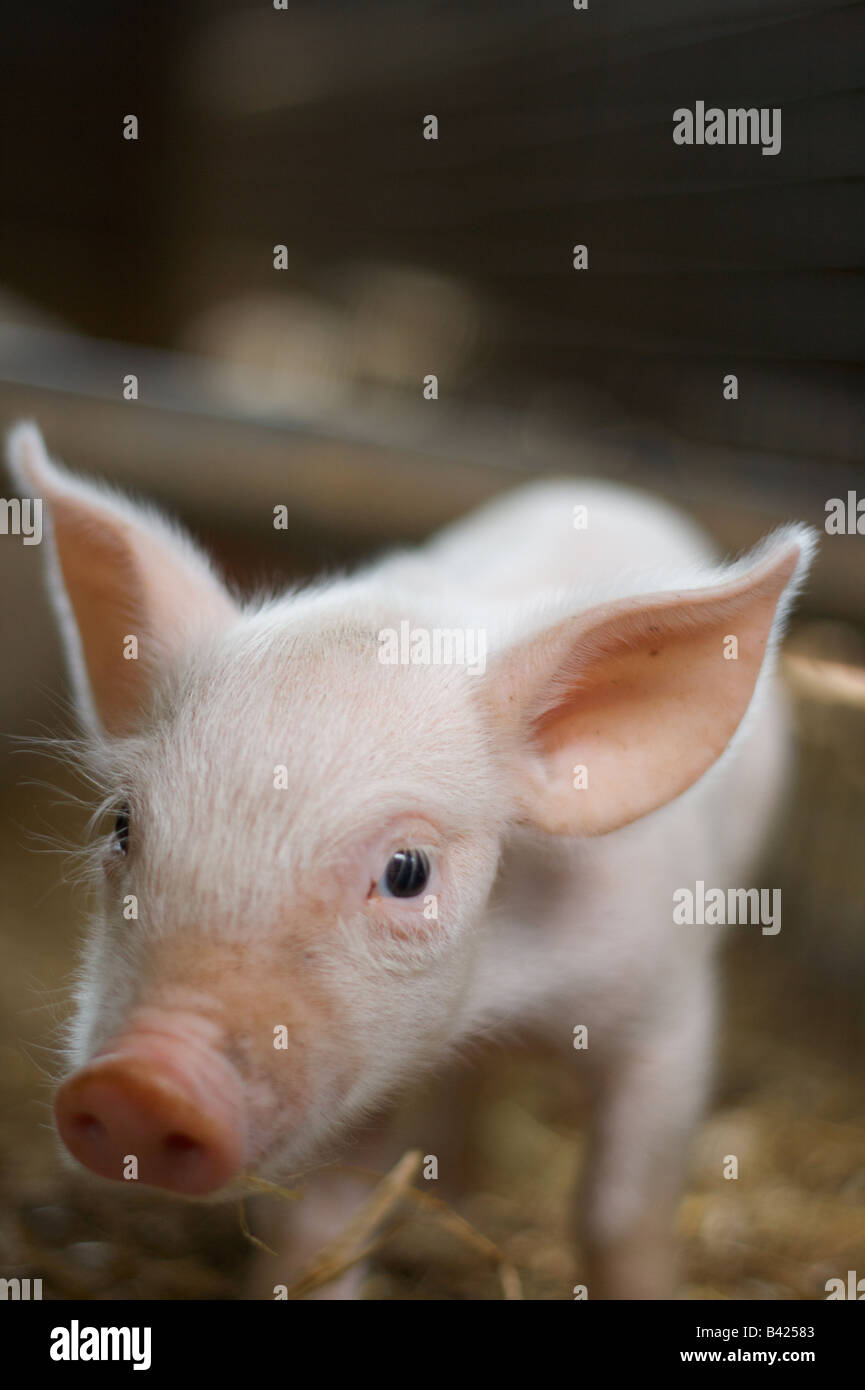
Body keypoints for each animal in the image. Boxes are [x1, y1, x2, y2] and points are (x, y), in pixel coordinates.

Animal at [7, 422, 815, 1299]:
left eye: (407, 872)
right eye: (123, 827)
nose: (137, 1086)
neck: (496, 999)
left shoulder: (665, 1011)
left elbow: (618, 1212)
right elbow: (320, 1227)